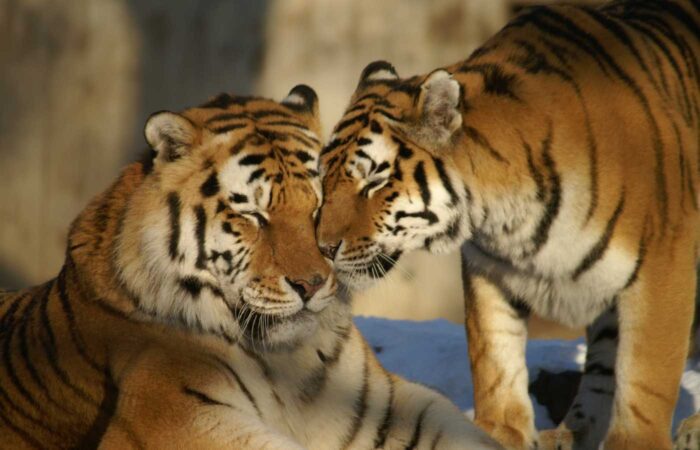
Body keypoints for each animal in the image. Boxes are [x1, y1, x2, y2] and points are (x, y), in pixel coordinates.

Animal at [0, 86, 503, 449]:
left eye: (320, 203)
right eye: (252, 215)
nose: (311, 284)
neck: (291, 361)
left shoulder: (389, 408)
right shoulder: (173, 417)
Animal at [315, 1, 700, 449]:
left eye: (375, 180)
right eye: (324, 177)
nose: (323, 247)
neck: (503, 215)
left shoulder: (663, 263)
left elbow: (646, 375)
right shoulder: (489, 268)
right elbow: (494, 355)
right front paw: (500, 431)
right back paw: (568, 433)